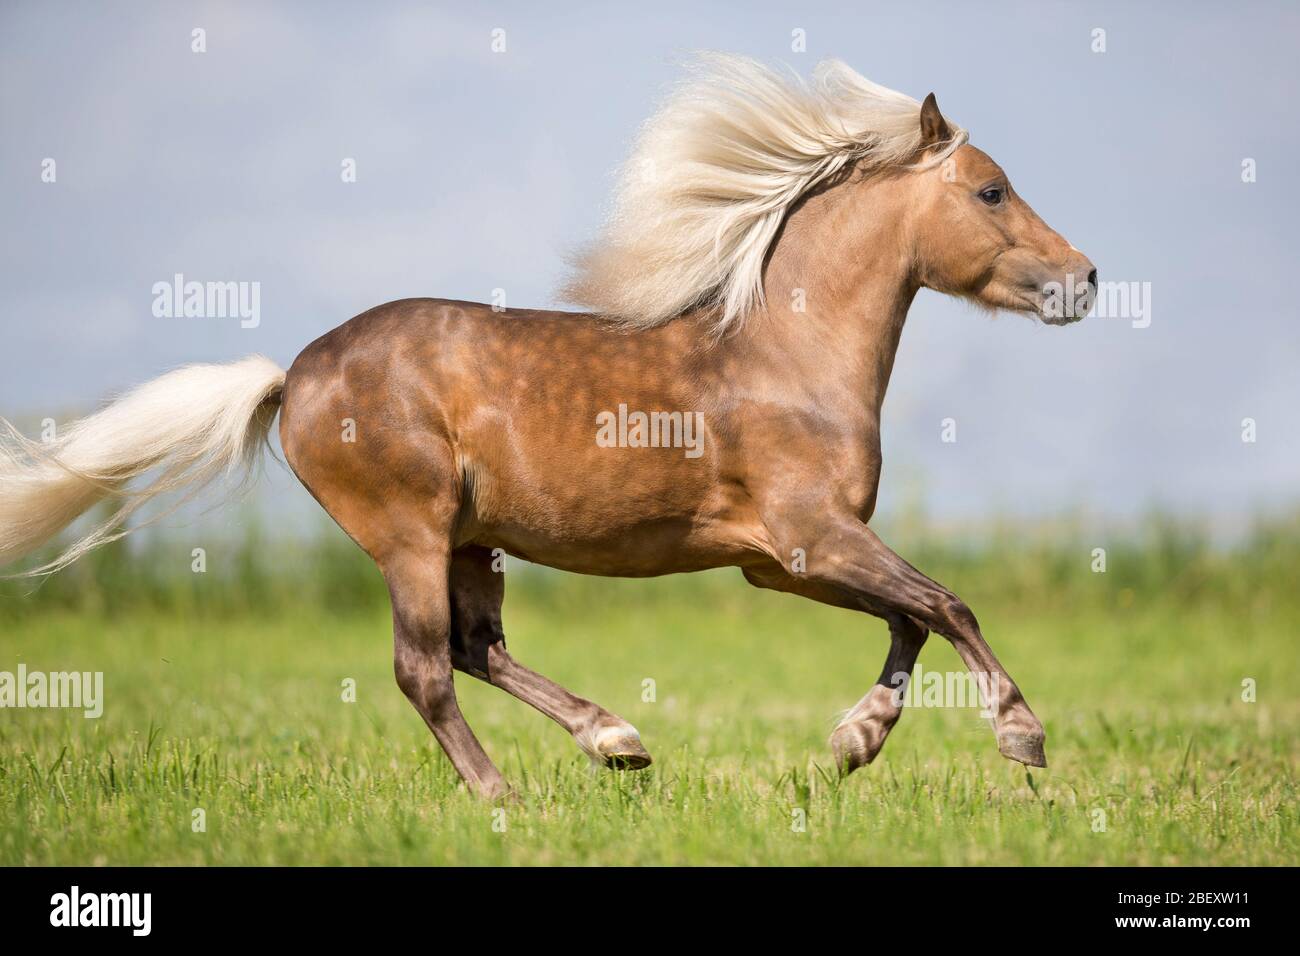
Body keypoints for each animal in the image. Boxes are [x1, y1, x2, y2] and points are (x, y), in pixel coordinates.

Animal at [1, 56, 1095, 799]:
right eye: (991, 189)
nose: (1083, 279)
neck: (788, 357)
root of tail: (294, 374)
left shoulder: (780, 561)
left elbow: (913, 615)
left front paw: (852, 741)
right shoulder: (809, 537)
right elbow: (949, 604)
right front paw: (1021, 735)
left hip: (471, 542)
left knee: (476, 650)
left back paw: (616, 741)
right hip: (407, 533)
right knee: (423, 667)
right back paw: (504, 797)